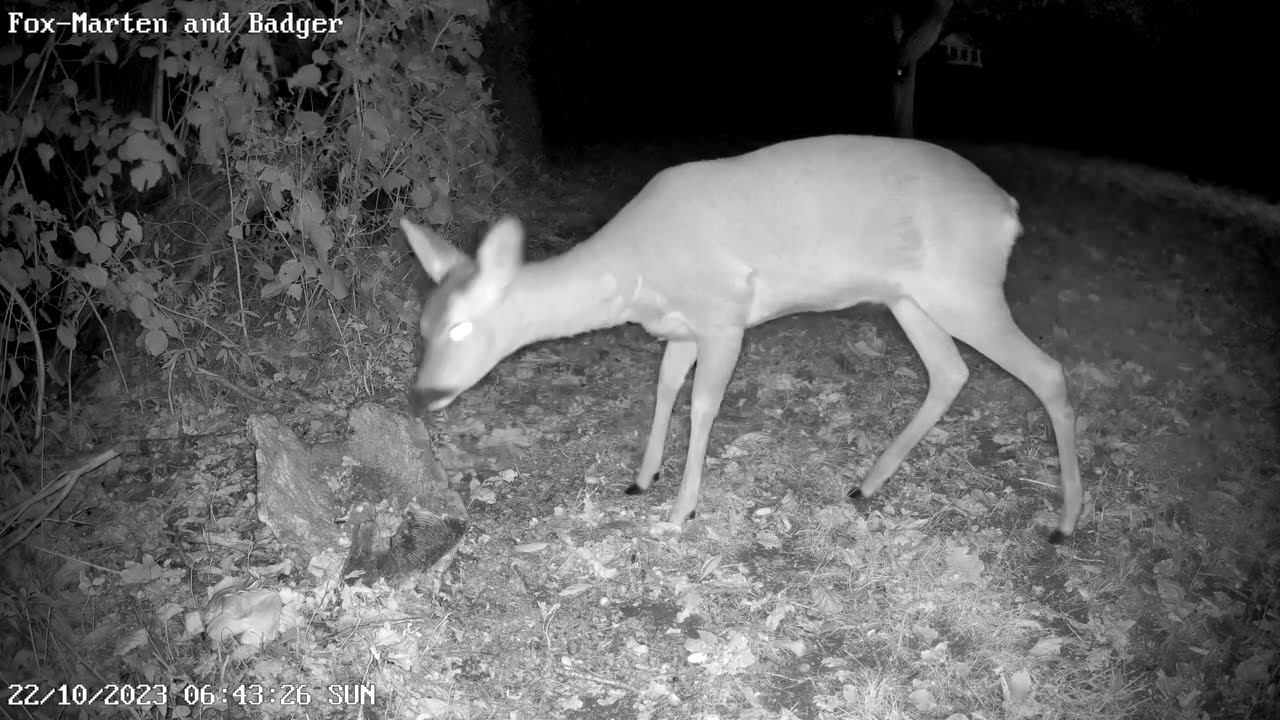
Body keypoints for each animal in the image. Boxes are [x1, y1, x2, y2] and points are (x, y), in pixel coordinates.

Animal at [400, 135, 1083, 543]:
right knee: (950, 372)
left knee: (1047, 371)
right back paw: (865, 484)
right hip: (909, 296)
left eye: (461, 326)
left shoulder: (724, 313)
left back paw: (1065, 522)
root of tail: (1007, 210)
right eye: (422, 326)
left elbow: (703, 405)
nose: (420, 396)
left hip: (965, 286)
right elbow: (664, 385)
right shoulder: (682, 326)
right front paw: (642, 478)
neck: (634, 269)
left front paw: (680, 512)